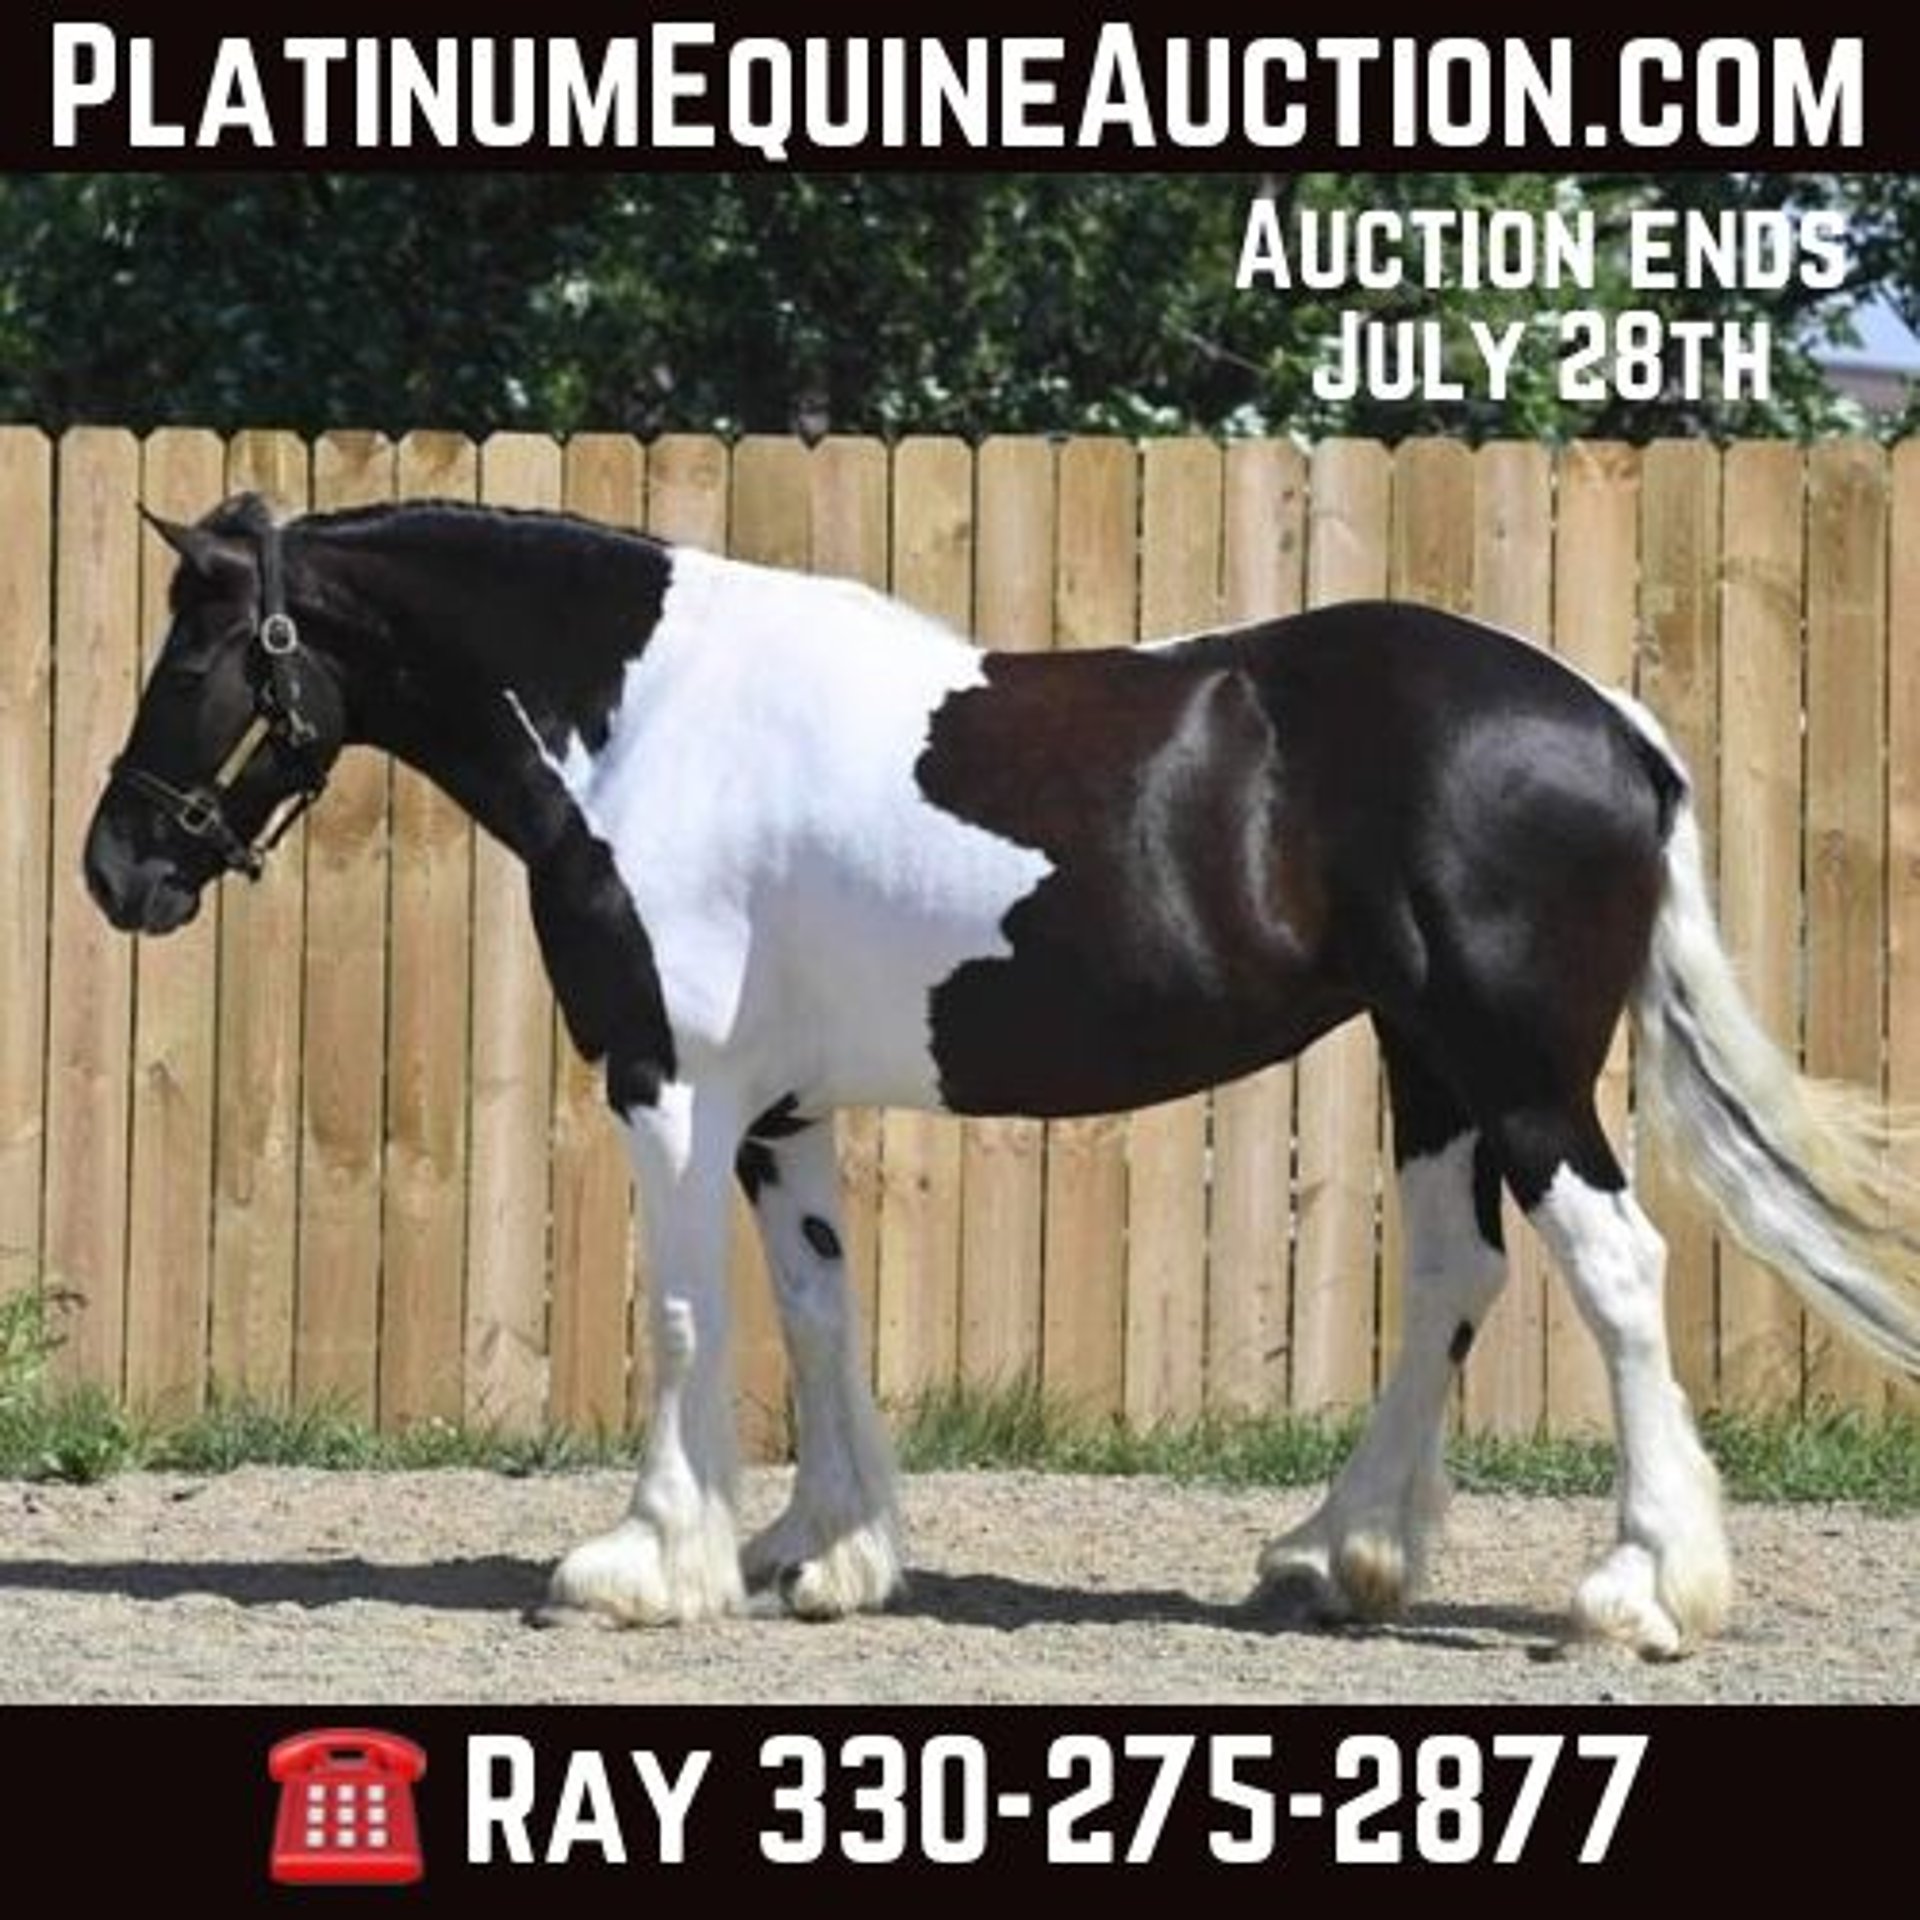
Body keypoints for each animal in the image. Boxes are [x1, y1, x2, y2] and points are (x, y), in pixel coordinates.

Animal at [84, 489, 1920, 1661]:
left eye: (192, 661)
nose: (120, 869)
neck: (641, 720)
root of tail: (1620, 729)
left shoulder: (667, 1081)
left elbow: (680, 1315)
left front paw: (644, 1565)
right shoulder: (779, 1112)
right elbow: (814, 1306)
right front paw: (821, 1554)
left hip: (1517, 1069)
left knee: (1617, 1270)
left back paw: (1642, 1592)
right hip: (1432, 1067)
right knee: (1455, 1278)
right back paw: (1339, 1555)